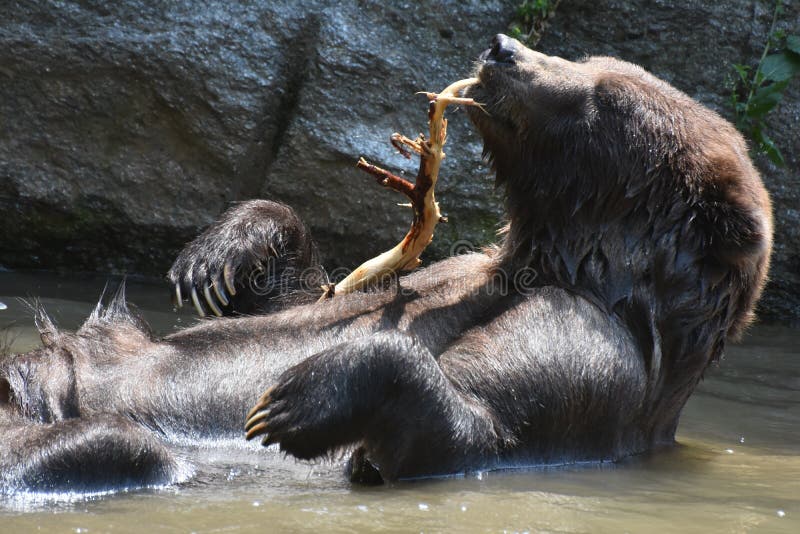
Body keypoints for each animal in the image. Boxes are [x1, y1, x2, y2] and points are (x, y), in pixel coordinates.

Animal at [0, 34, 772, 489]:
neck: (561, 253)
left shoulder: (588, 350)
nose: (503, 48)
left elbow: (467, 429)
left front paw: (294, 398)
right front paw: (216, 259)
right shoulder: (450, 274)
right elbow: (312, 292)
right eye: (590, 63)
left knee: (114, 442)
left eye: (605, 98)